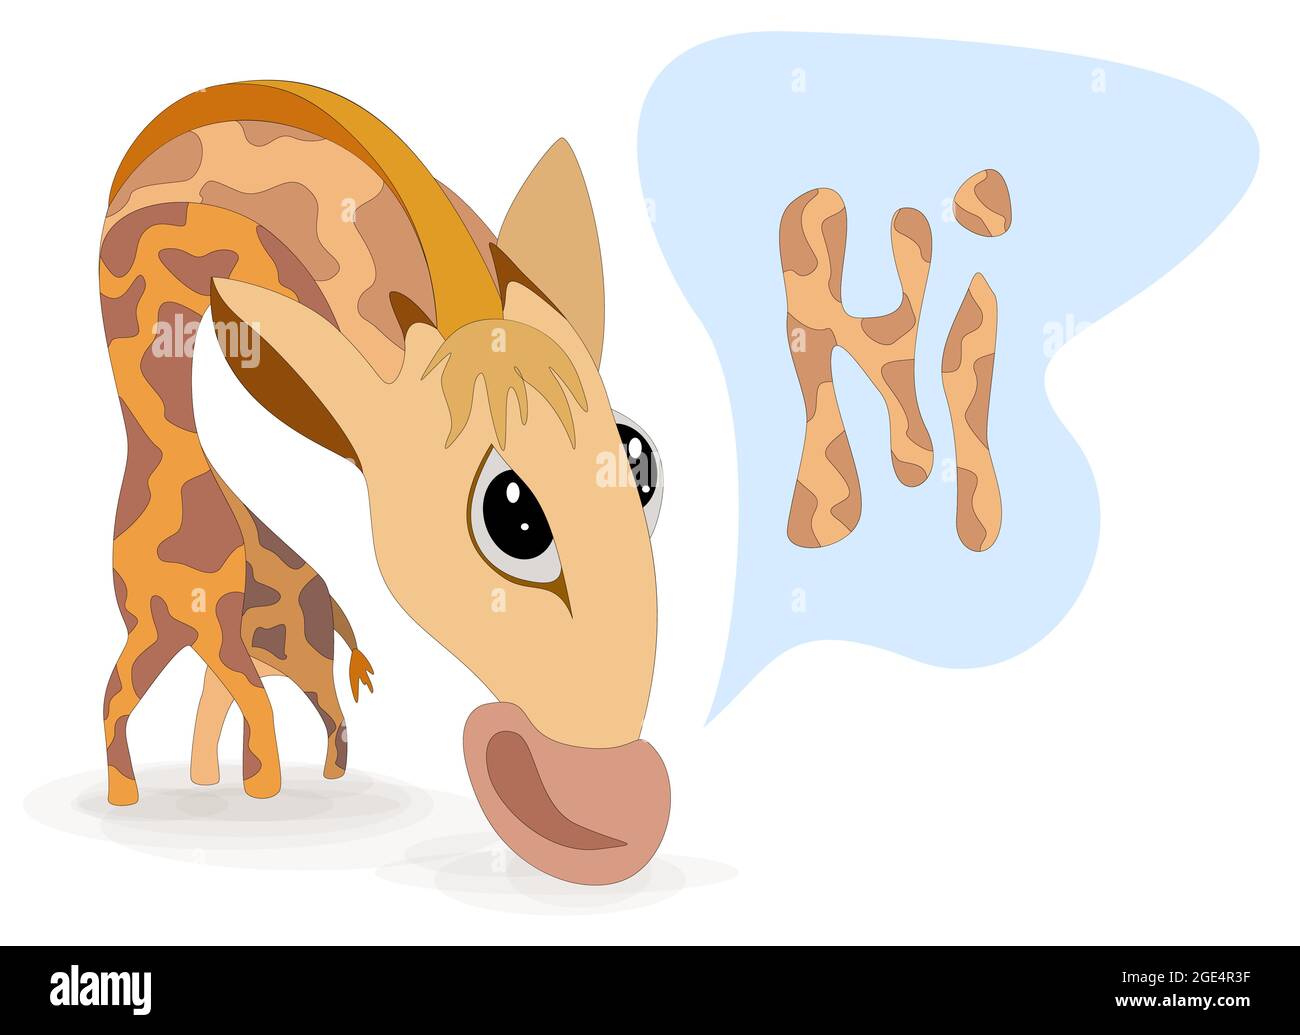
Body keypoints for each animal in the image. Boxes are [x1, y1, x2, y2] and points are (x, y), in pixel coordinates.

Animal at [99, 82, 669, 885]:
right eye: (514, 516)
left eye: (638, 460)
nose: (610, 822)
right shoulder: (158, 633)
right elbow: (121, 699)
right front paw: (131, 794)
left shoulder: (202, 635)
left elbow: (223, 703)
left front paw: (257, 790)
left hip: (291, 656)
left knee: (313, 709)